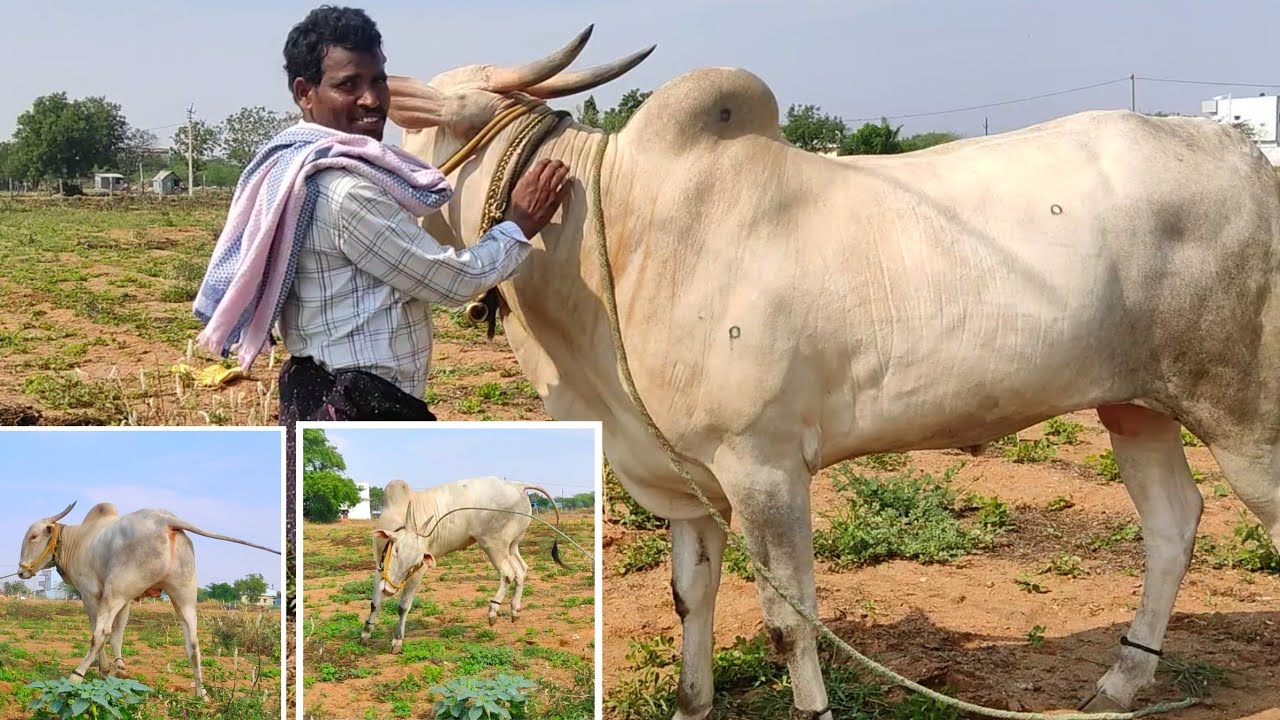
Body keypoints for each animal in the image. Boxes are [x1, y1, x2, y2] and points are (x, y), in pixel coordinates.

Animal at [17, 501, 281, 696]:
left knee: (100, 633)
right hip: (182, 592)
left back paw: (76, 675)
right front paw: (120, 668)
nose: (21, 572)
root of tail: (166, 520)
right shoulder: (126, 600)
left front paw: (104, 669)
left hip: (116, 590)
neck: (77, 540)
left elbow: (101, 632)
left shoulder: (91, 594)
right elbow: (118, 633)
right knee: (193, 641)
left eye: (33, 536)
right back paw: (201, 692)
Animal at [360, 477, 567, 653]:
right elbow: (374, 602)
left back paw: (493, 611)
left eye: (417, 561)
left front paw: (397, 641)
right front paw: (366, 633)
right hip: (512, 545)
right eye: (396, 550)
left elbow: (403, 607)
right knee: (521, 570)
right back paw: (515, 610)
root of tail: (517, 485)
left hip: (494, 544)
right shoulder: (379, 566)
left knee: (508, 573)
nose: (389, 589)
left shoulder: (419, 572)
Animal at [382, 26, 1280, 719]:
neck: (617, 230)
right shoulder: (684, 476)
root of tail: (1240, 148)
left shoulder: (764, 467)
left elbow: (790, 619)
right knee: (1173, 523)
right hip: (1136, 404)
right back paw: (1122, 681)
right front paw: (692, 701)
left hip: (1245, 415)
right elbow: (690, 598)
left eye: (414, 118)